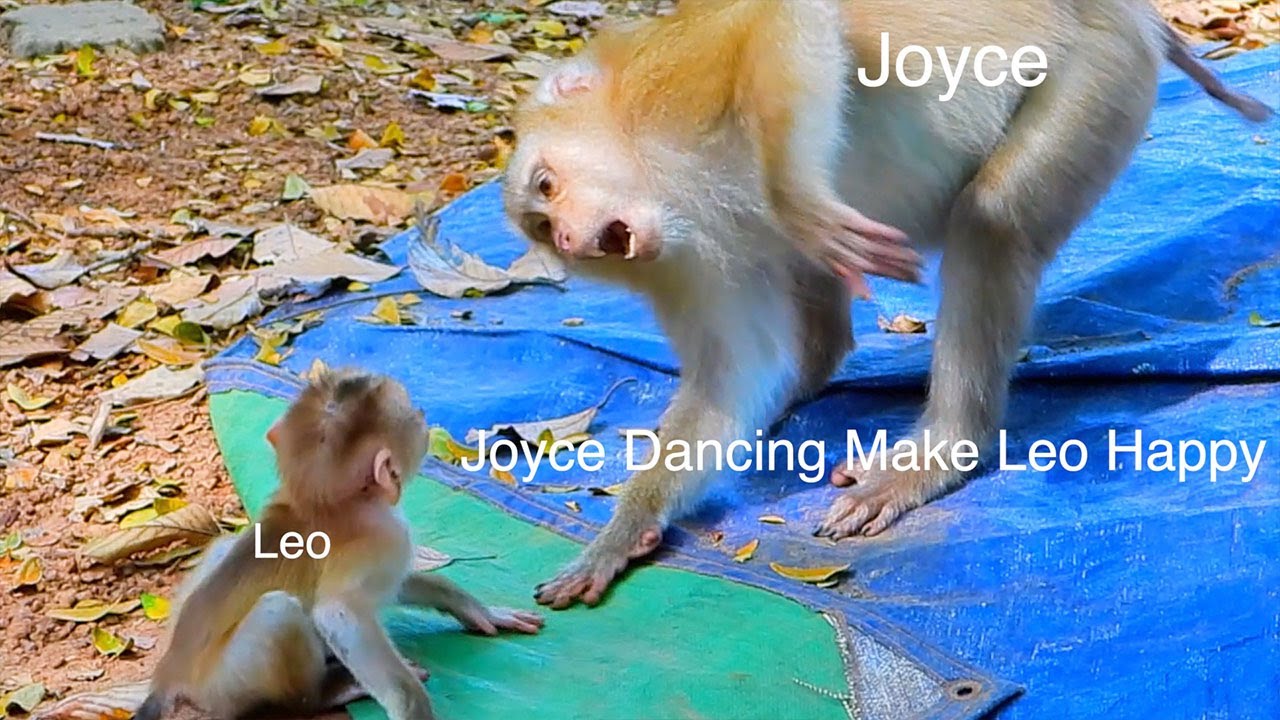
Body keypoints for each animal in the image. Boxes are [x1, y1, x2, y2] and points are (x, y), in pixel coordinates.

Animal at [135, 368, 543, 720]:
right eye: (412, 414)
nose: (425, 417)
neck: (327, 507)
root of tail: (170, 674)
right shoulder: (382, 538)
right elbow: (338, 612)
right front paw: (414, 708)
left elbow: (394, 586)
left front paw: (474, 608)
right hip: (224, 687)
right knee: (280, 612)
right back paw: (320, 695)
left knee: (225, 545)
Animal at [502, 0, 1273, 608]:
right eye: (541, 226)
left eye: (546, 185)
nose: (566, 238)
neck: (660, 177)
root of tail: (1136, 16)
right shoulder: (679, 262)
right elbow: (732, 374)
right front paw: (625, 530)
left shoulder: (676, 84)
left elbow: (788, 26)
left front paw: (796, 200)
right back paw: (808, 381)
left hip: (1102, 70)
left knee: (990, 220)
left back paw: (943, 450)